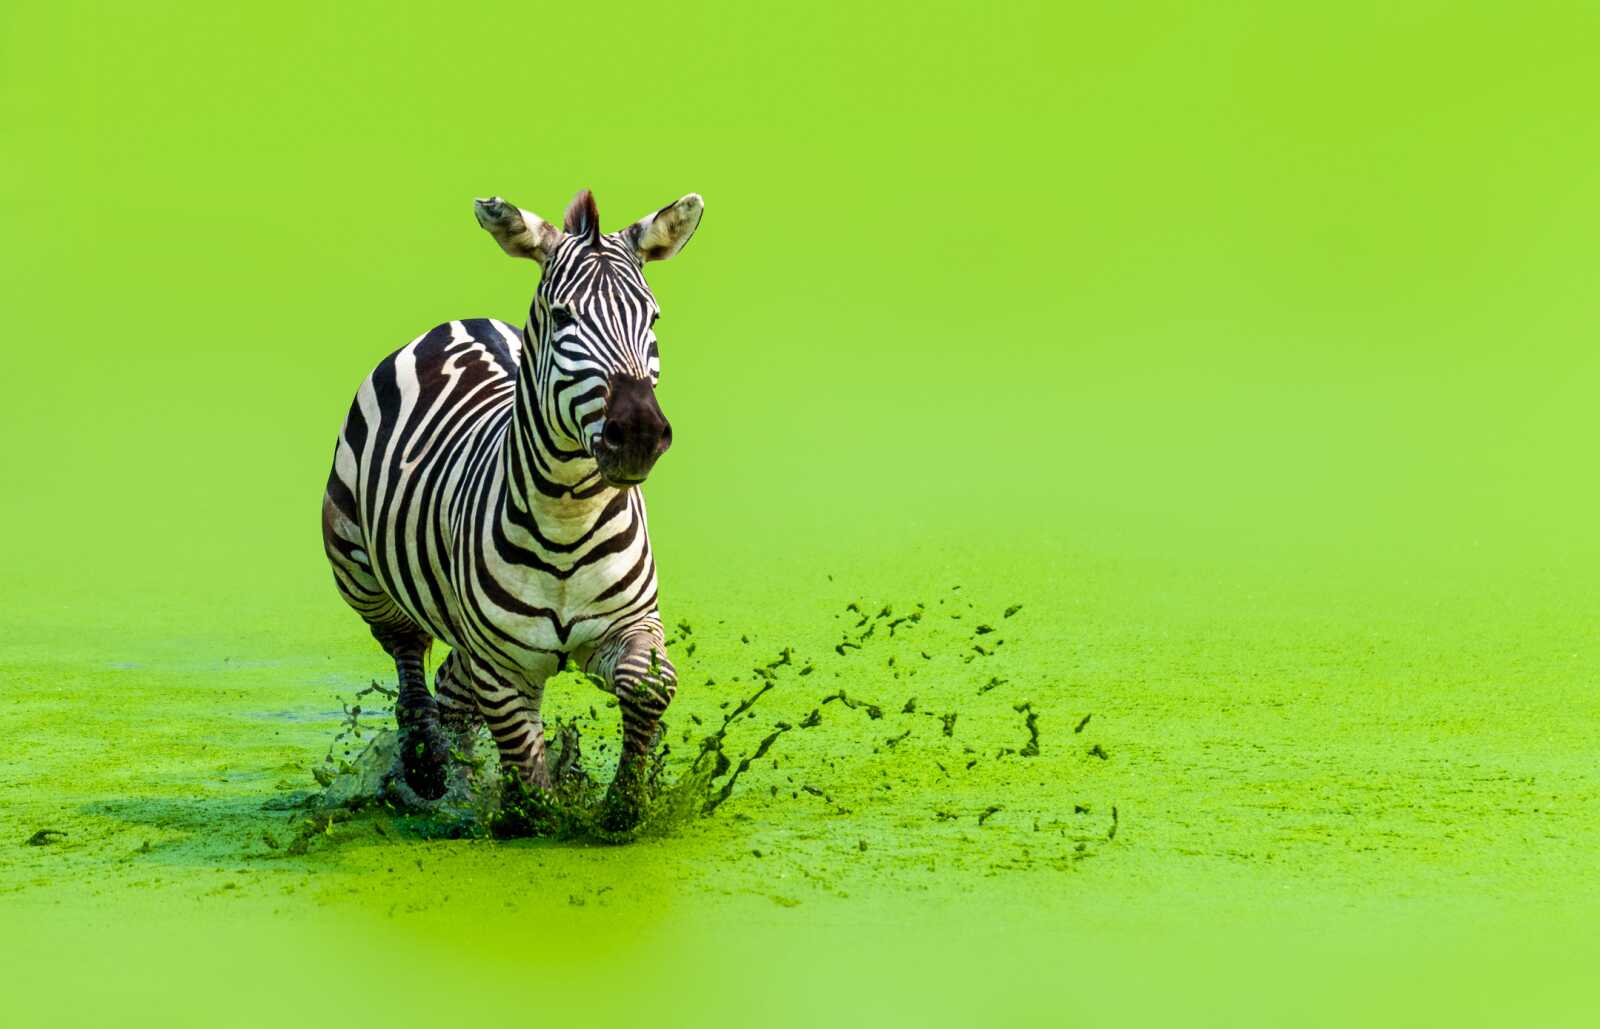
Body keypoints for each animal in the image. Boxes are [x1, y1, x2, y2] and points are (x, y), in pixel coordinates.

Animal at [320, 188, 703, 830]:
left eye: (652, 318)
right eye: (564, 317)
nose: (638, 434)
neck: (568, 518)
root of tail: (458, 322)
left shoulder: (629, 623)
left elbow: (646, 686)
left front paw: (623, 808)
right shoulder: (504, 669)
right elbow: (530, 779)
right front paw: (538, 819)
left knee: (451, 687)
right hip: (358, 570)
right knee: (407, 650)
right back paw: (425, 765)